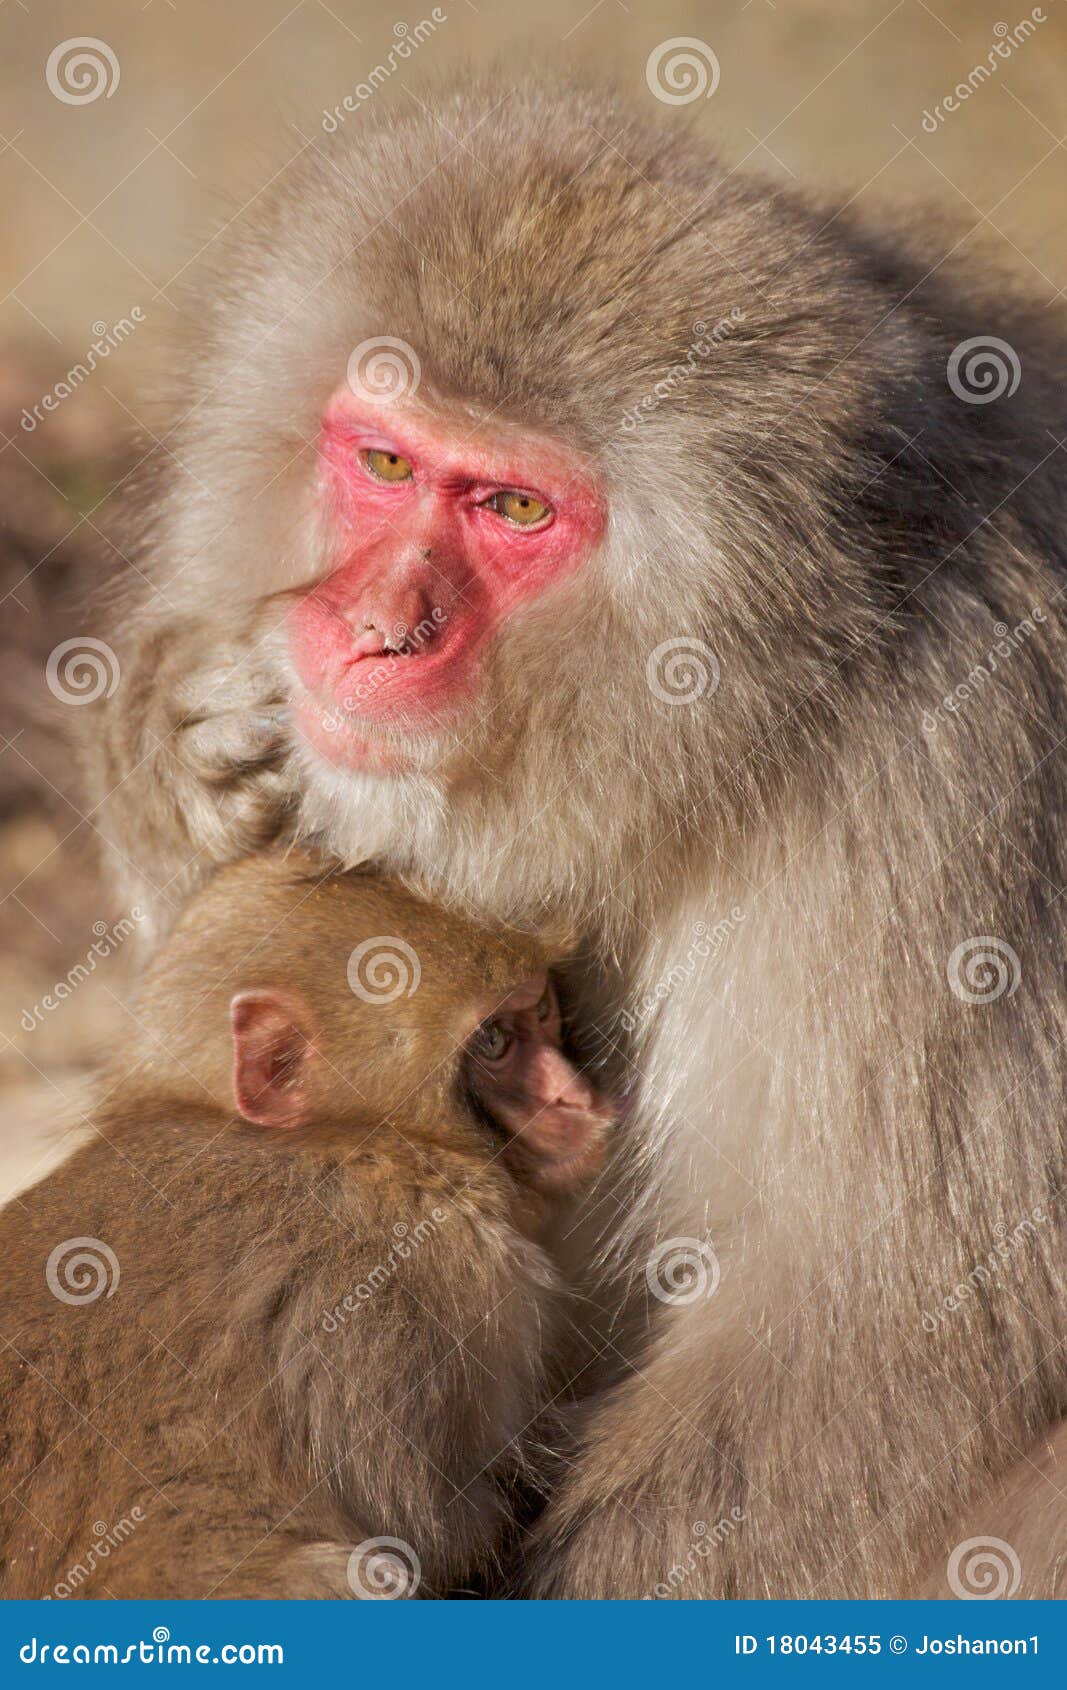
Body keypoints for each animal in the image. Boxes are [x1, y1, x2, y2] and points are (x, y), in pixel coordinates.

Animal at [83, 79, 1067, 1597]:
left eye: (514, 508)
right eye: (383, 462)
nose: (372, 629)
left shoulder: (941, 799)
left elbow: (898, 1327)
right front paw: (171, 757)